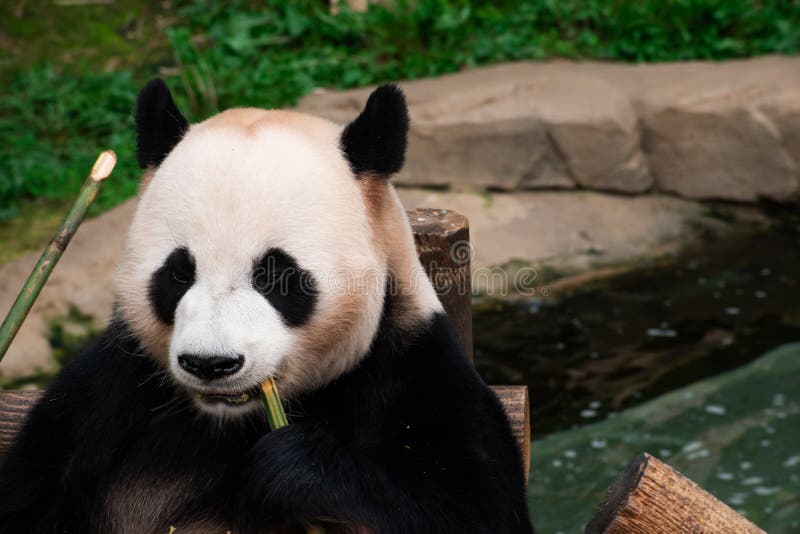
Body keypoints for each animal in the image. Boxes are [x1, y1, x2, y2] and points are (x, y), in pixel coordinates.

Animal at [0, 79, 533, 533]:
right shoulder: (103, 391)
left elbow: (468, 503)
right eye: (179, 272)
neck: (231, 422)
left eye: (276, 276)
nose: (210, 364)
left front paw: (292, 467)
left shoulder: (412, 368)